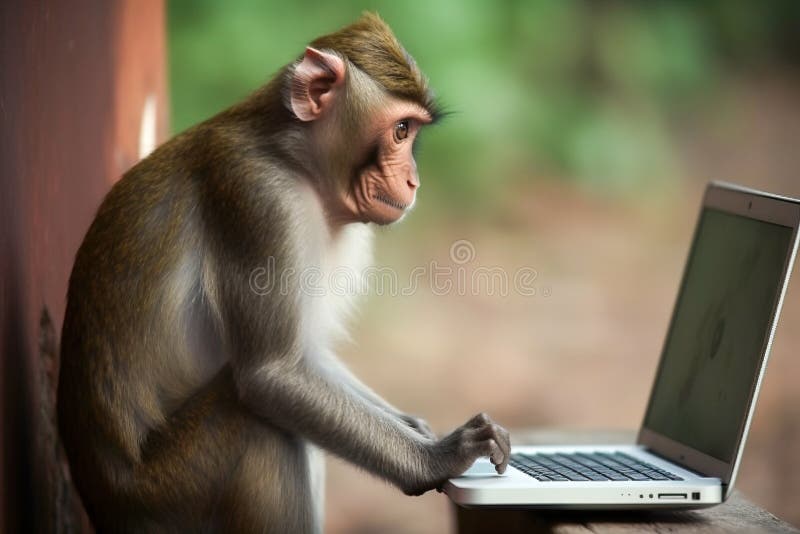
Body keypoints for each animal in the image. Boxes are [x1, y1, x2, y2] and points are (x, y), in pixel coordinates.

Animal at [57, 12, 510, 533]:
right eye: (400, 130)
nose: (414, 180)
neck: (293, 160)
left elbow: (307, 356)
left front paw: (410, 426)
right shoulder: (261, 199)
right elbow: (273, 375)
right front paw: (436, 457)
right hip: (165, 494)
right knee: (260, 426)